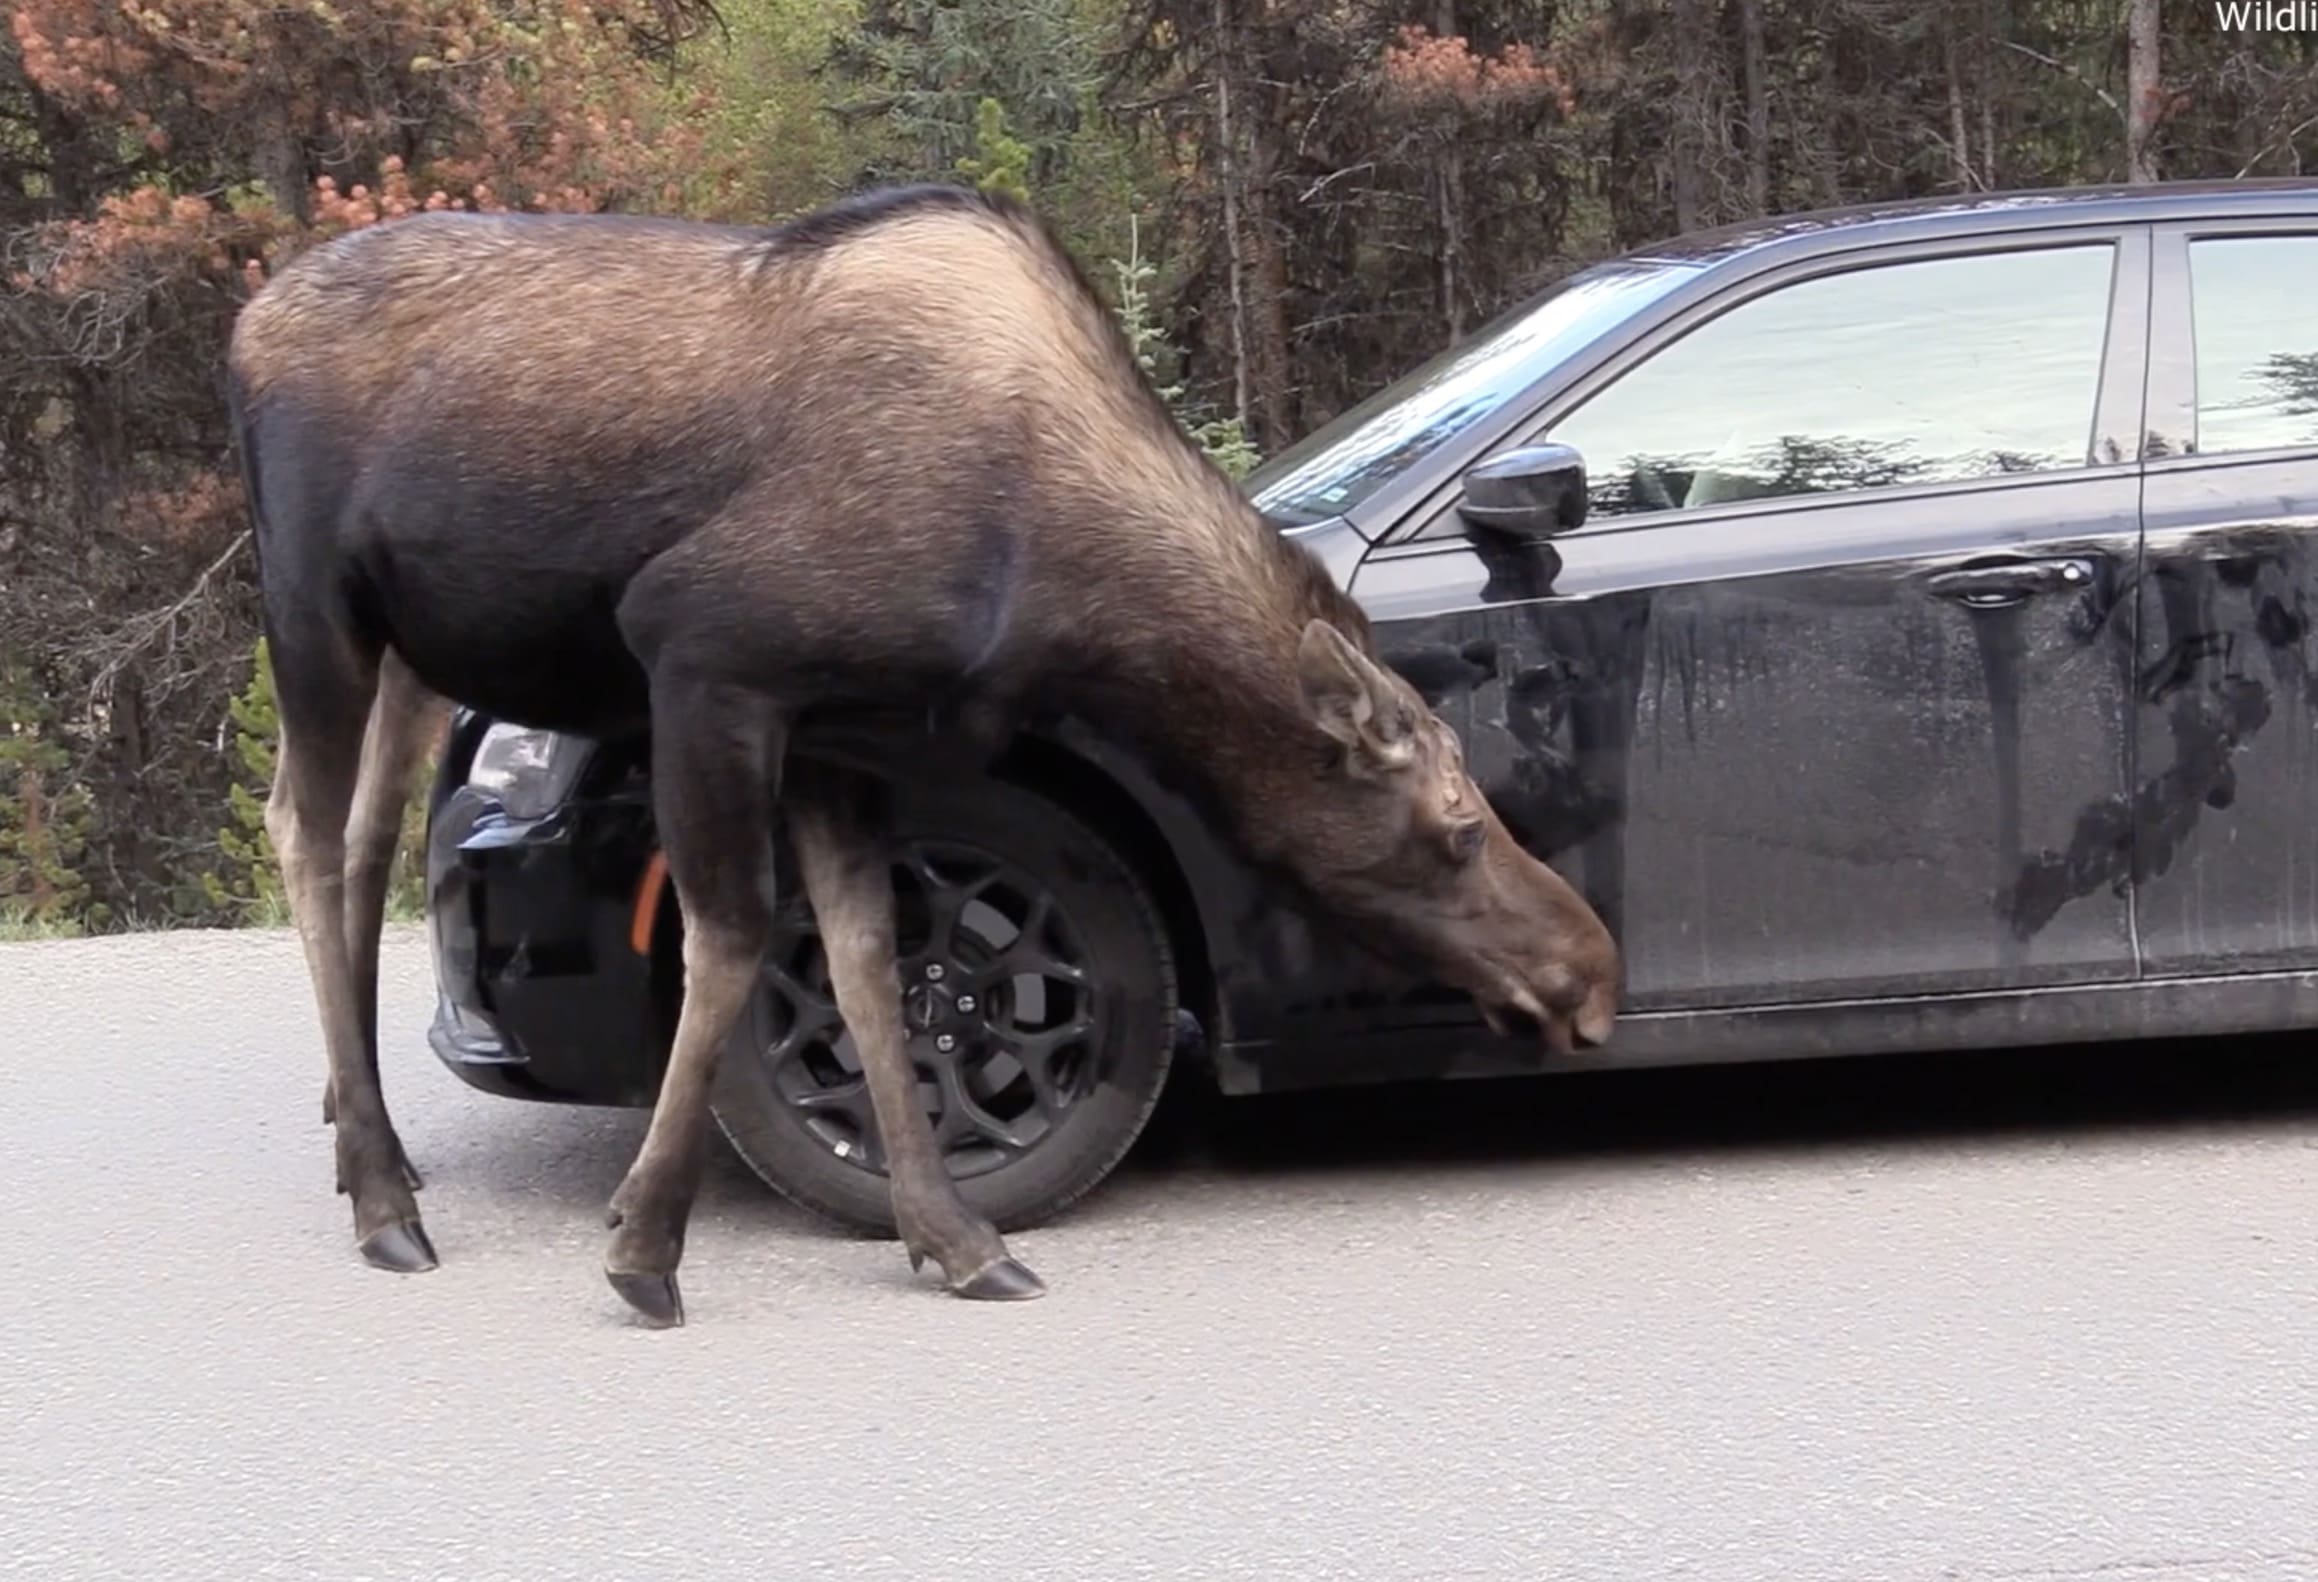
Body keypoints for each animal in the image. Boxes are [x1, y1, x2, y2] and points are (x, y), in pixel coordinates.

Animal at [223, 183, 1623, 1327]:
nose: (1590, 971)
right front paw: (645, 1242)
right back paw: (383, 1203)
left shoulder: (838, 731)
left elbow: (863, 962)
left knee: (363, 844)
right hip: (312, 606)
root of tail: (244, 328)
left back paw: (371, 1150)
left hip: (414, 649)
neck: (1064, 590)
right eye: (1454, 826)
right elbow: (734, 939)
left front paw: (950, 1235)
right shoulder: (703, 653)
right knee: (302, 830)